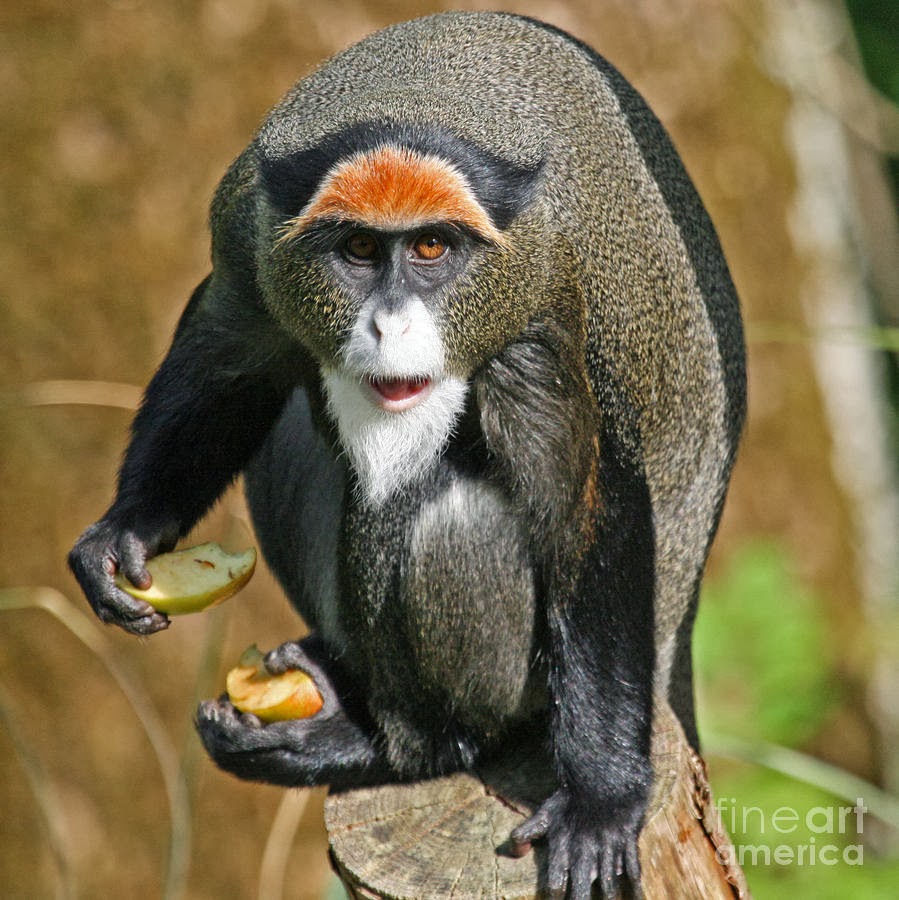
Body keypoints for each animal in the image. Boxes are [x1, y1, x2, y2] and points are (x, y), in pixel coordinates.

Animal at [68, 12, 746, 899]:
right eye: (359, 250)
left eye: (429, 250)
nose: (388, 325)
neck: (415, 107)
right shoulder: (247, 239)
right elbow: (227, 363)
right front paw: (125, 534)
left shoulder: (541, 297)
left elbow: (583, 503)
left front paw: (600, 802)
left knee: (443, 519)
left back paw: (397, 745)